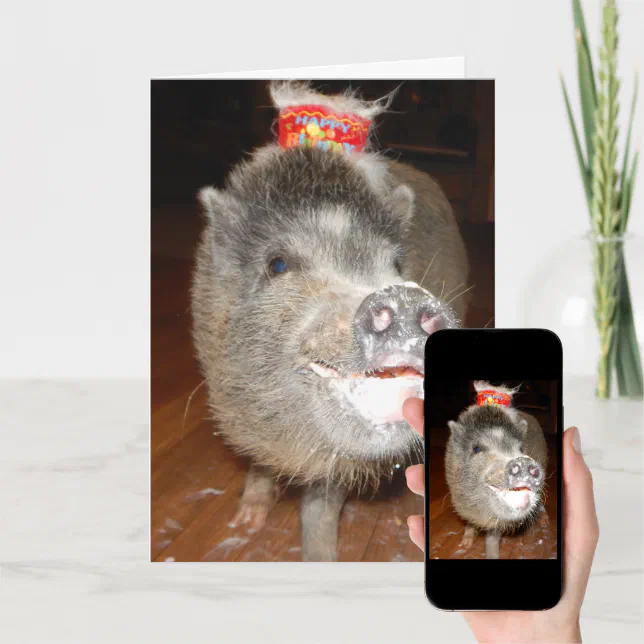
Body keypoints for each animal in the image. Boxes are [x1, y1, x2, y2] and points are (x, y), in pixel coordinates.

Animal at [191, 81, 470, 561]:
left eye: (396, 265)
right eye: (277, 264)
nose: (402, 296)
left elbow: (320, 507)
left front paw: (320, 558)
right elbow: (258, 463)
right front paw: (244, 525)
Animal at [445, 381, 548, 559]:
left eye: (521, 448)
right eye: (476, 449)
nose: (523, 461)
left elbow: (493, 538)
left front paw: (492, 555)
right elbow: (469, 524)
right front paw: (464, 545)